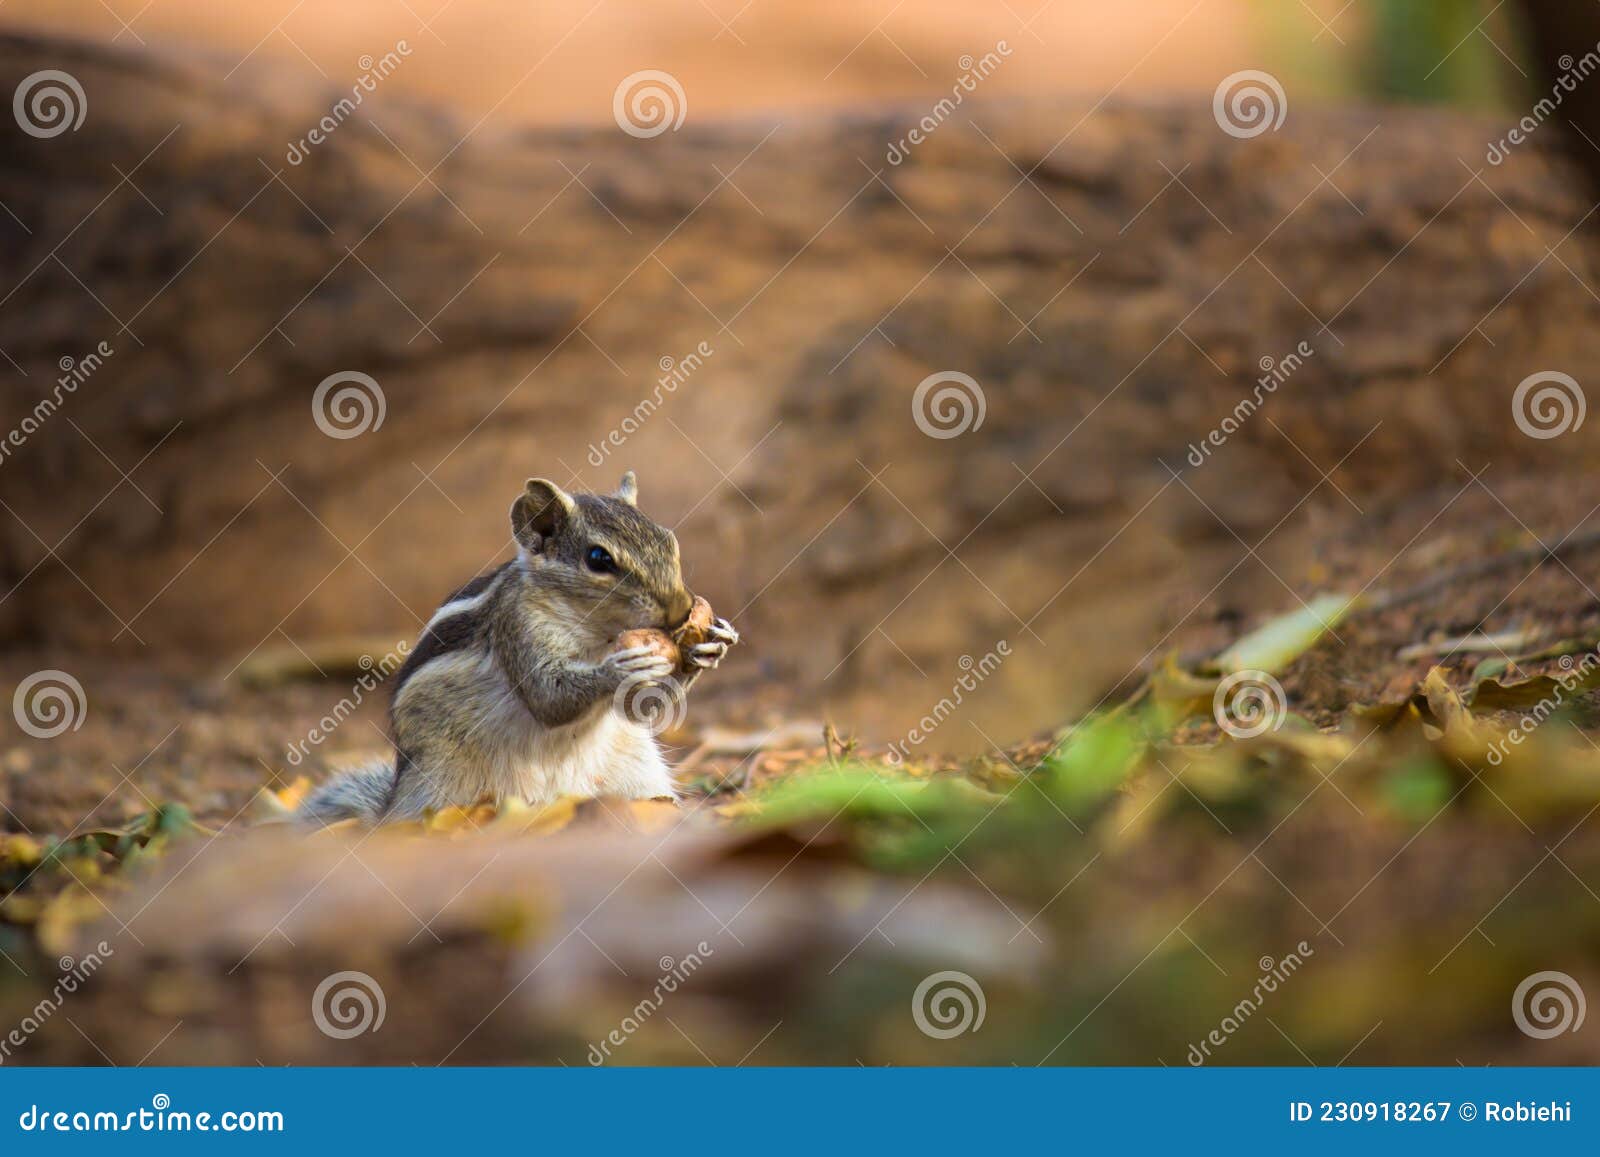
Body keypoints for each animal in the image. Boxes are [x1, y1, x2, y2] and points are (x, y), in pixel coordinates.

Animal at [297, 470, 740, 826]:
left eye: (669, 540)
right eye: (598, 559)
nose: (683, 608)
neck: (596, 633)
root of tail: (391, 805)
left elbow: (642, 707)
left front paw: (708, 647)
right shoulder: (517, 629)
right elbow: (548, 698)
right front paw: (621, 668)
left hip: (637, 770)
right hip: (443, 786)